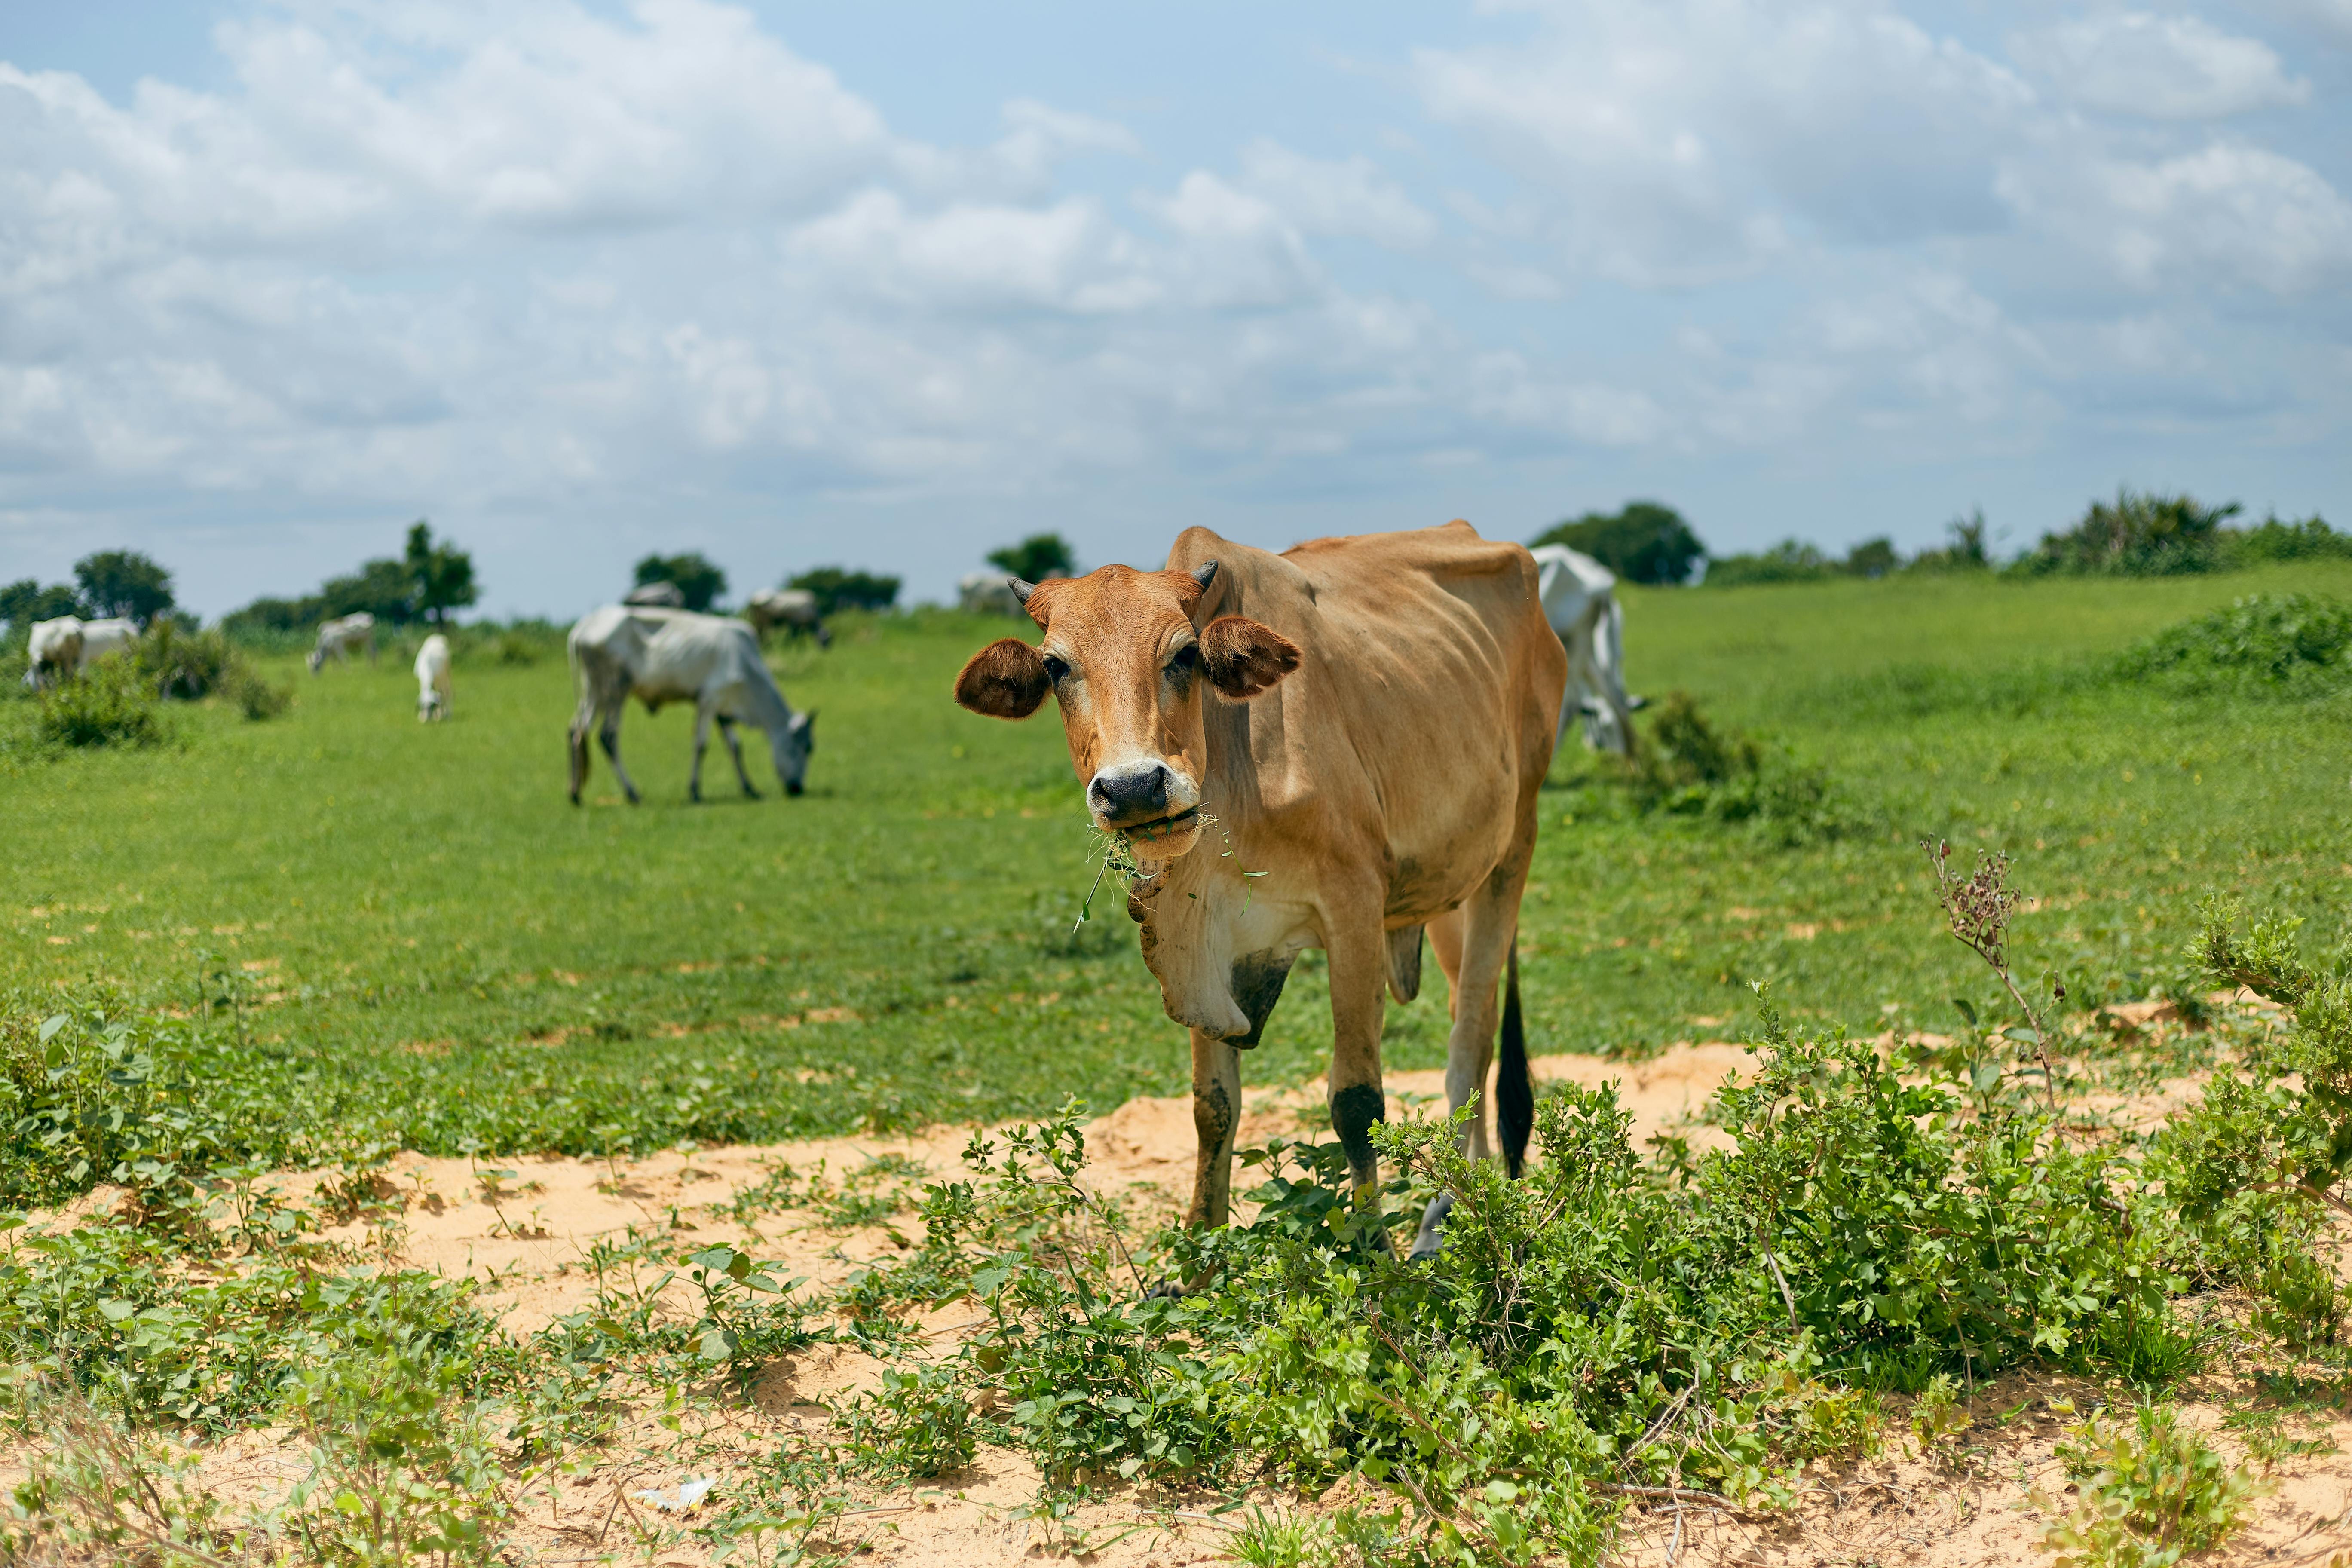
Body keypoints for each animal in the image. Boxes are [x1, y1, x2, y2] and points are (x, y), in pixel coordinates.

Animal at [308, 613, 377, 674]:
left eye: (315, 666)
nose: (314, 677)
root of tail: (370, 616)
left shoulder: (339, 646)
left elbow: (343, 658)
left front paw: (349, 671)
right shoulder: (332, 651)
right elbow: (333, 661)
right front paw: (335, 672)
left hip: (368, 640)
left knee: (371, 653)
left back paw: (371, 668)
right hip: (368, 641)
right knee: (373, 652)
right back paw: (373, 667)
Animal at [414, 633, 452, 722]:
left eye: (432, 706)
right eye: (423, 706)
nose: (427, 719)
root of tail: (437, 636)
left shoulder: (439, 679)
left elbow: (442, 695)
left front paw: (439, 714)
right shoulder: (421, 682)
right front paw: (422, 716)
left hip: (446, 674)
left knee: (447, 692)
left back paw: (447, 713)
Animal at [567, 605, 813, 804]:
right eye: (801, 749)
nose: (797, 789)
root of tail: (581, 628)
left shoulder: (722, 710)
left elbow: (735, 747)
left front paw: (750, 788)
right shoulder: (709, 700)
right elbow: (701, 745)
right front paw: (695, 791)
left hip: (594, 691)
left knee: (577, 730)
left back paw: (576, 793)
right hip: (616, 690)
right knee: (607, 737)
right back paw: (632, 793)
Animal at [745, 588, 832, 648]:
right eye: (826, 641)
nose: (826, 651)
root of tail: (754, 598)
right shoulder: (795, 623)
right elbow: (793, 637)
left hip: (758, 621)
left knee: (758, 633)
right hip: (765, 621)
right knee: (764, 634)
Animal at [953, 521, 1565, 1263]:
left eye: (1185, 653)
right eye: (1055, 667)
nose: (1135, 788)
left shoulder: (1352, 913)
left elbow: (1356, 1101)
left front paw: (1375, 1251)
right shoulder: (1197, 944)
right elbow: (1212, 1107)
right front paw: (1198, 1261)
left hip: (1514, 847)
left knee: (1470, 1042)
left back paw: (1441, 1215)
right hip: (1450, 886)